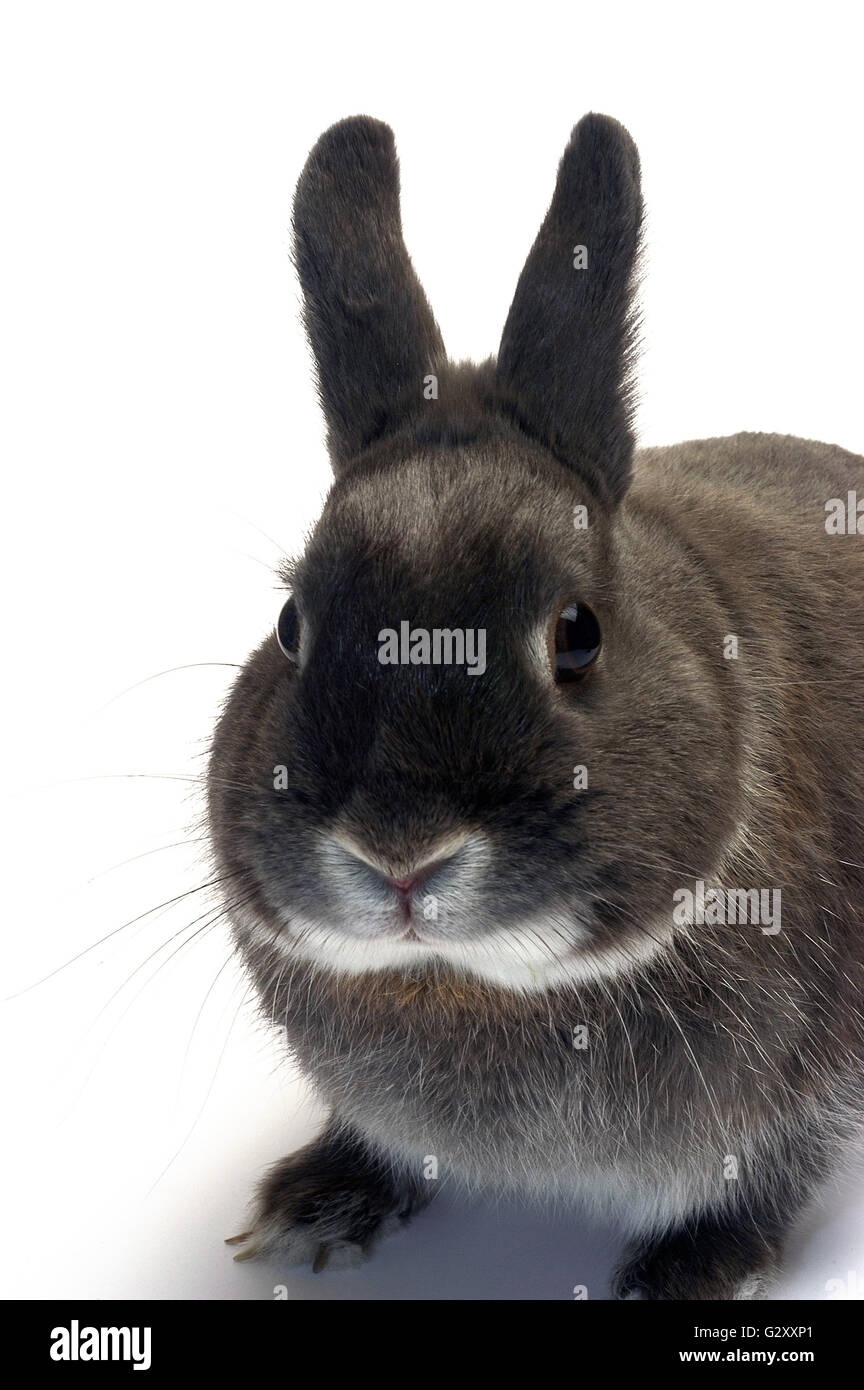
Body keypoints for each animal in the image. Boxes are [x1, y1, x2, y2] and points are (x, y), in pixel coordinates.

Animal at [208, 112, 864, 1299]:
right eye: (290, 623)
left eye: (577, 633)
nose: (401, 855)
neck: (471, 982)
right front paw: (315, 1205)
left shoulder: (814, 1076)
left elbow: (770, 1171)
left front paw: (685, 1270)